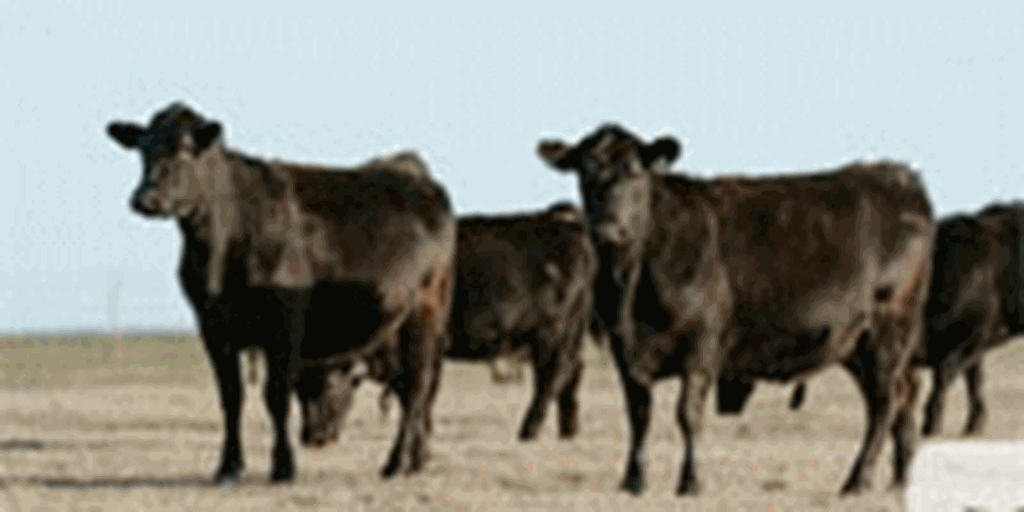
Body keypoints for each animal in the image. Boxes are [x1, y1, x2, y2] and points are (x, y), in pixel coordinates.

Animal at [105, 102, 457, 484]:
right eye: (142, 148)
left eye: (184, 148)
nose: (145, 199)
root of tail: (425, 186)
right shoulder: (212, 326)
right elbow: (231, 396)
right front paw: (229, 466)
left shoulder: (285, 322)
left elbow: (276, 395)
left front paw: (283, 465)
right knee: (411, 388)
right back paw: (414, 460)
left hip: (425, 311)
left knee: (417, 385)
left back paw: (396, 462)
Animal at [301, 201, 600, 445]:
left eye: (325, 384)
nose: (311, 437)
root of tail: (565, 224)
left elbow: (420, 388)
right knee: (571, 373)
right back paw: (568, 431)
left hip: (551, 333)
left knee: (551, 377)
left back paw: (529, 431)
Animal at [536, 124, 934, 497]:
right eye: (585, 171)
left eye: (635, 171)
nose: (608, 228)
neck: (631, 288)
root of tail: (898, 175)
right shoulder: (625, 350)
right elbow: (639, 415)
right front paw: (633, 481)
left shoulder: (702, 344)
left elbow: (688, 414)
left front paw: (691, 481)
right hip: (858, 345)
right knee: (902, 398)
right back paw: (899, 481)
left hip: (887, 330)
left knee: (885, 402)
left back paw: (857, 480)